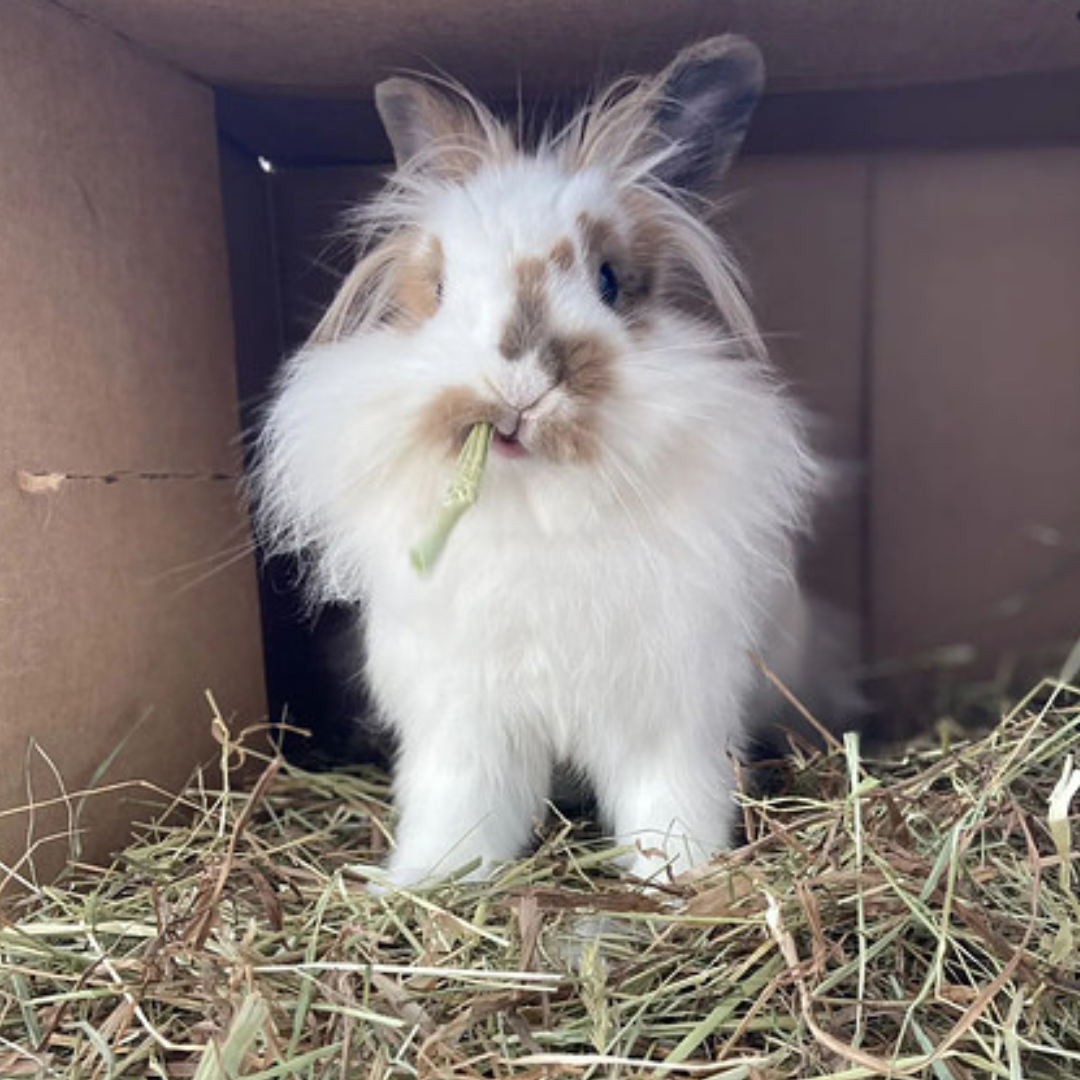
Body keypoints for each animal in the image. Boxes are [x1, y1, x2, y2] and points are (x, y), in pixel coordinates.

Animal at [251, 35, 847, 887]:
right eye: (438, 288)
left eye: (609, 280)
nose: (516, 386)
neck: (538, 513)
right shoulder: (463, 719)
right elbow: (460, 807)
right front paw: (427, 879)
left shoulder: (666, 712)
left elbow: (668, 798)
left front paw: (680, 875)